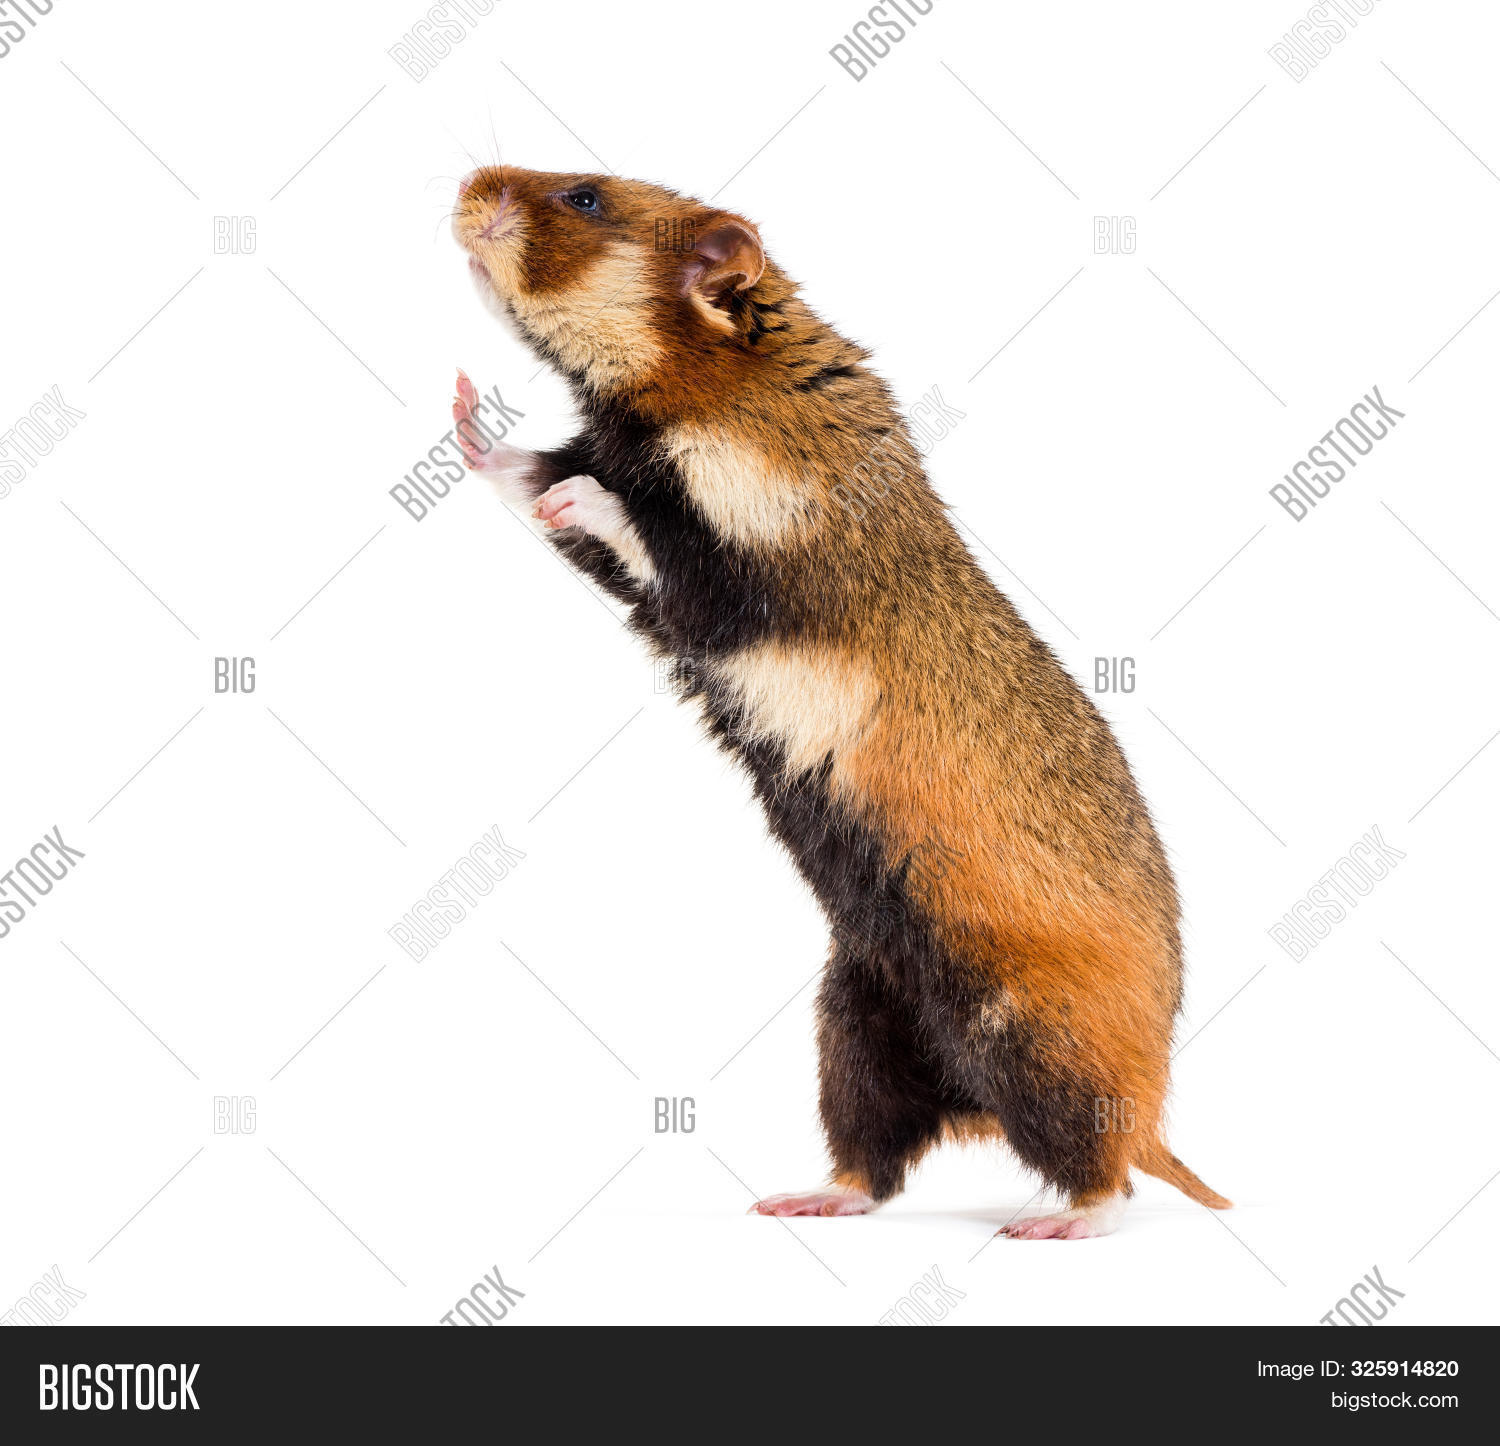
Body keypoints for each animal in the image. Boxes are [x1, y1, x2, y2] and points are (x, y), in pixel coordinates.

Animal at [451, 164, 1230, 1238]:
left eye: (585, 198)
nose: (462, 186)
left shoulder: (755, 567)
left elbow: (632, 523)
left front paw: (577, 495)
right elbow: (538, 474)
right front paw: (467, 421)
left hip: (1034, 1039)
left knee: (1108, 1172)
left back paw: (1056, 1220)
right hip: (856, 1022)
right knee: (876, 1163)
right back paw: (803, 1200)